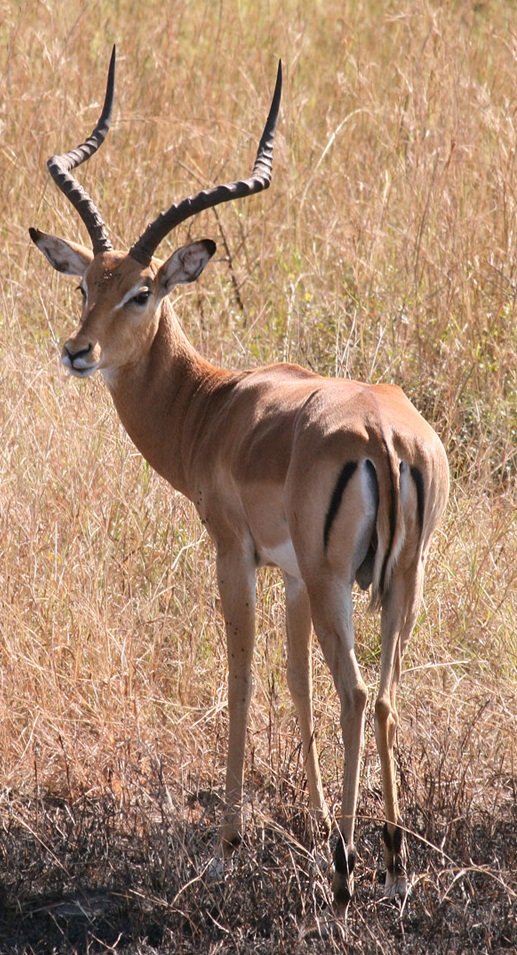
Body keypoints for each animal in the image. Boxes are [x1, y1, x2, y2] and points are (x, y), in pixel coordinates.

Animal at [30, 48, 449, 910]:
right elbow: (293, 684)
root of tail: (386, 437)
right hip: (399, 583)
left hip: (336, 581)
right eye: (85, 283)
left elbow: (244, 676)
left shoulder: (233, 552)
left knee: (356, 692)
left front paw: (228, 846)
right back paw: (390, 859)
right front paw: (313, 833)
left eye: (142, 291)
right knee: (385, 693)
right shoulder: (287, 574)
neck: (217, 406)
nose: (78, 352)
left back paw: (348, 871)